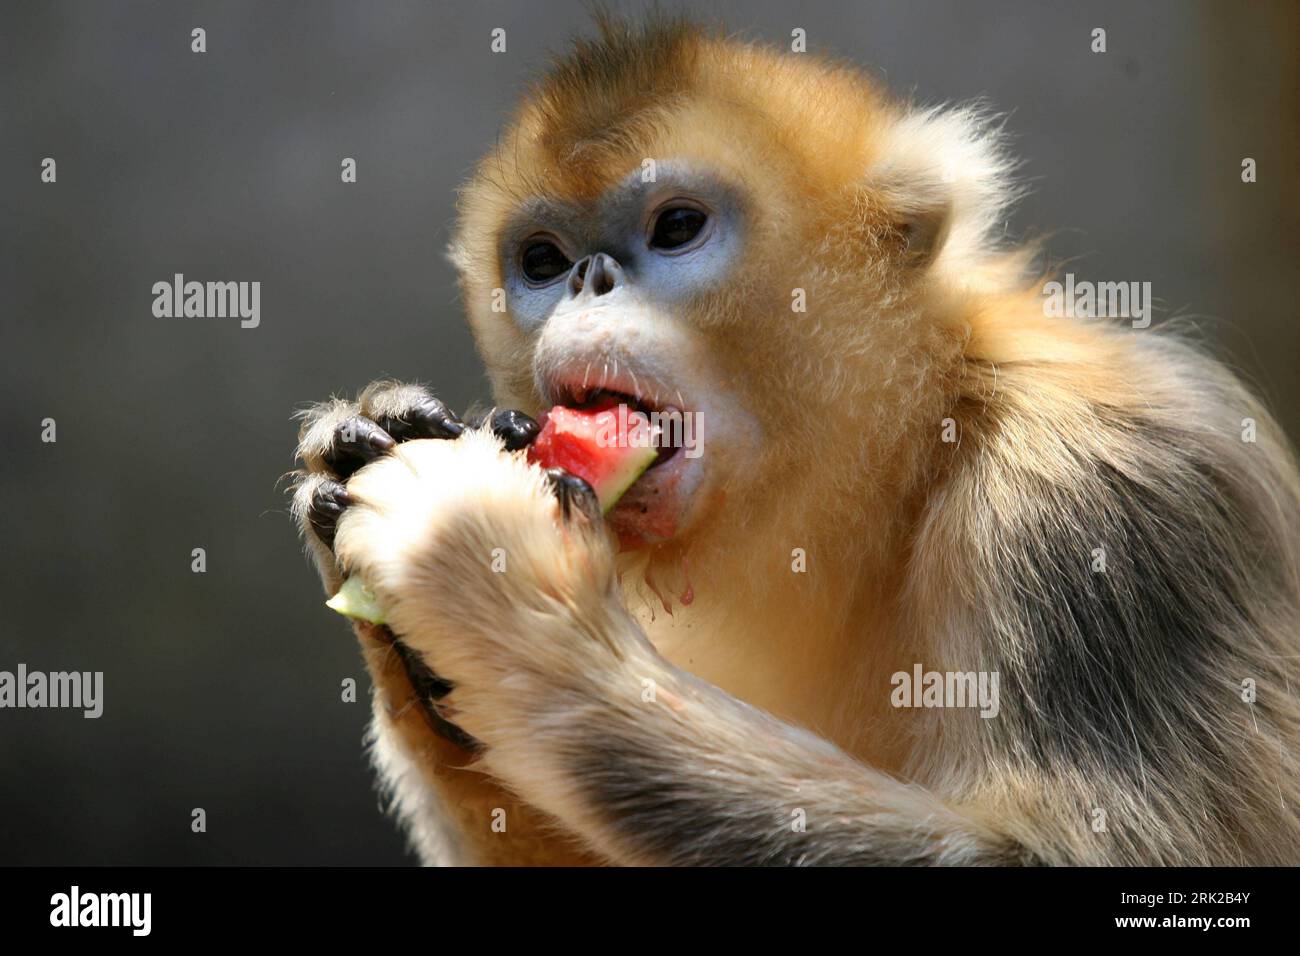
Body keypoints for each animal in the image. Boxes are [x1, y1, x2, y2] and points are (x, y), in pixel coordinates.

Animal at [289, 15, 1300, 866]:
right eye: (541, 259)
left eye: (677, 227)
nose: (586, 278)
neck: (908, 454)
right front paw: (372, 453)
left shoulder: (1096, 503)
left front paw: (491, 574)